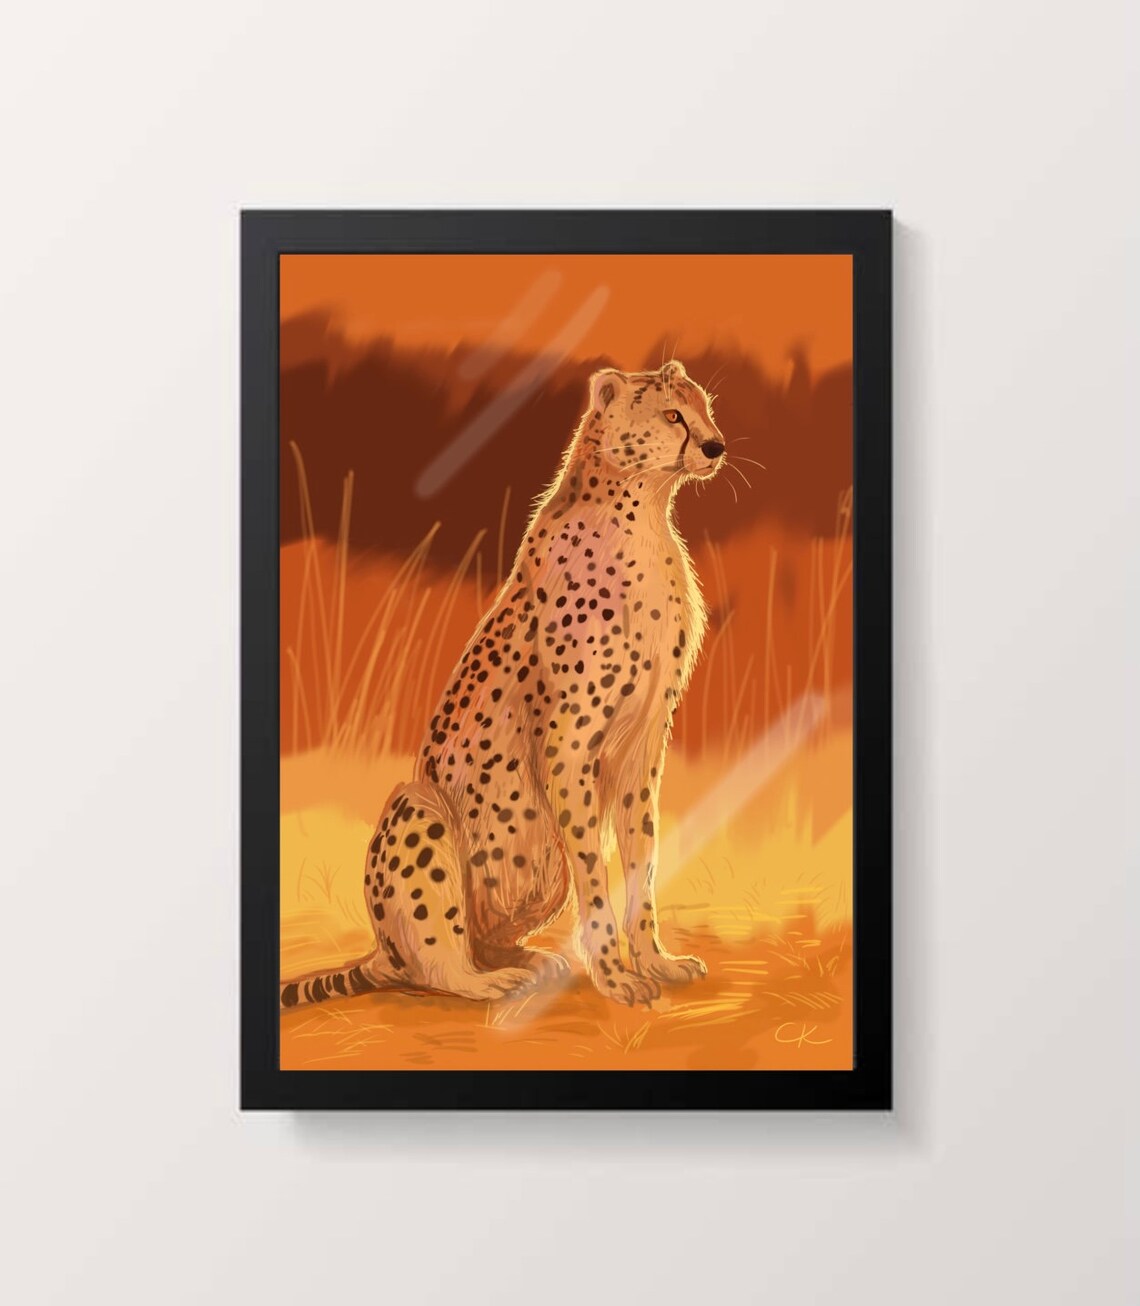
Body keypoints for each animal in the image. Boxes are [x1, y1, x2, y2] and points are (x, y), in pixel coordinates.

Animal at [280, 359, 728, 1010]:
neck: (643, 512)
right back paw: (492, 980)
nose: (717, 446)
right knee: (440, 961)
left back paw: (530, 960)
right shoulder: (570, 746)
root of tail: (382, 955)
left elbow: (640, 862)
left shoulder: (643, 744)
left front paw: (654, 961)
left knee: (483, 941)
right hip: (418, 808)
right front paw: (616, 976)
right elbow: (595, 875)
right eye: (672, 414)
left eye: (704, 408)